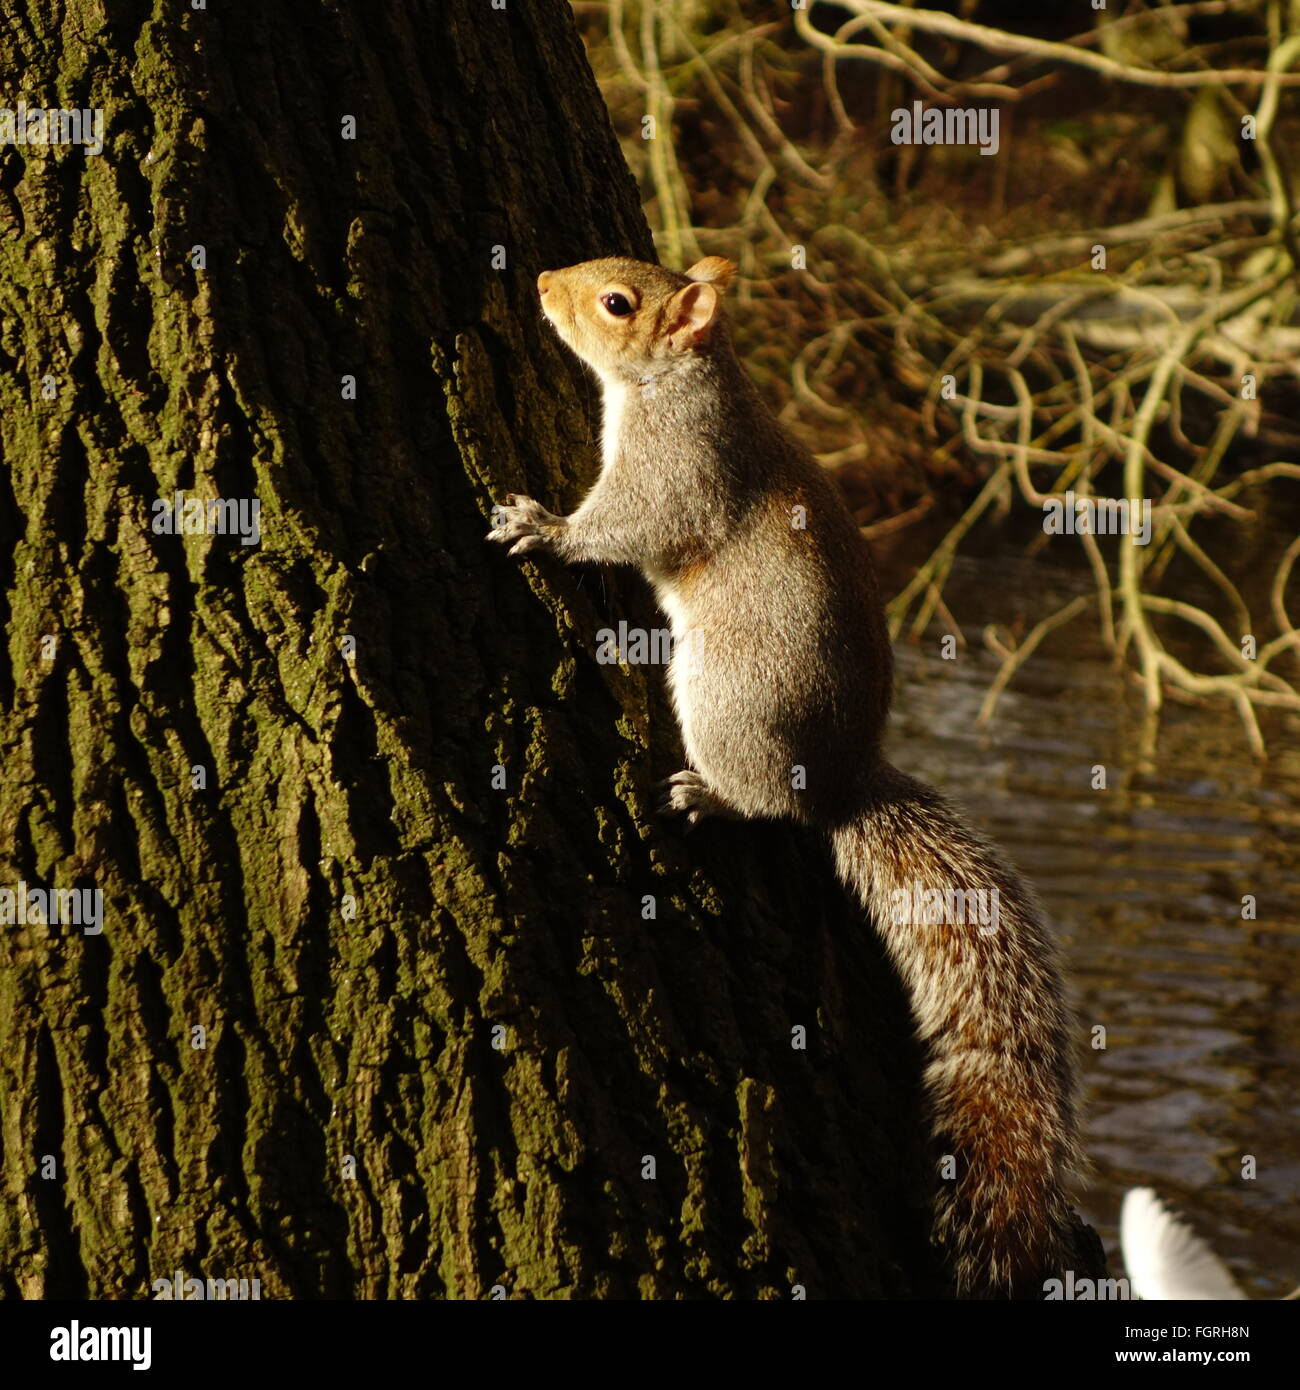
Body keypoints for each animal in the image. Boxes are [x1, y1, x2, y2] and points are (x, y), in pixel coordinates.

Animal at [487, 255, 1084, 1299]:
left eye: (617, 304)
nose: (547, 278)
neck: (685, 384)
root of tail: (843, 778)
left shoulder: (678, 473)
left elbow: (628, 528)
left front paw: (546, 527)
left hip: (727, 701)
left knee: (767, 803)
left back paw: (712, 797)